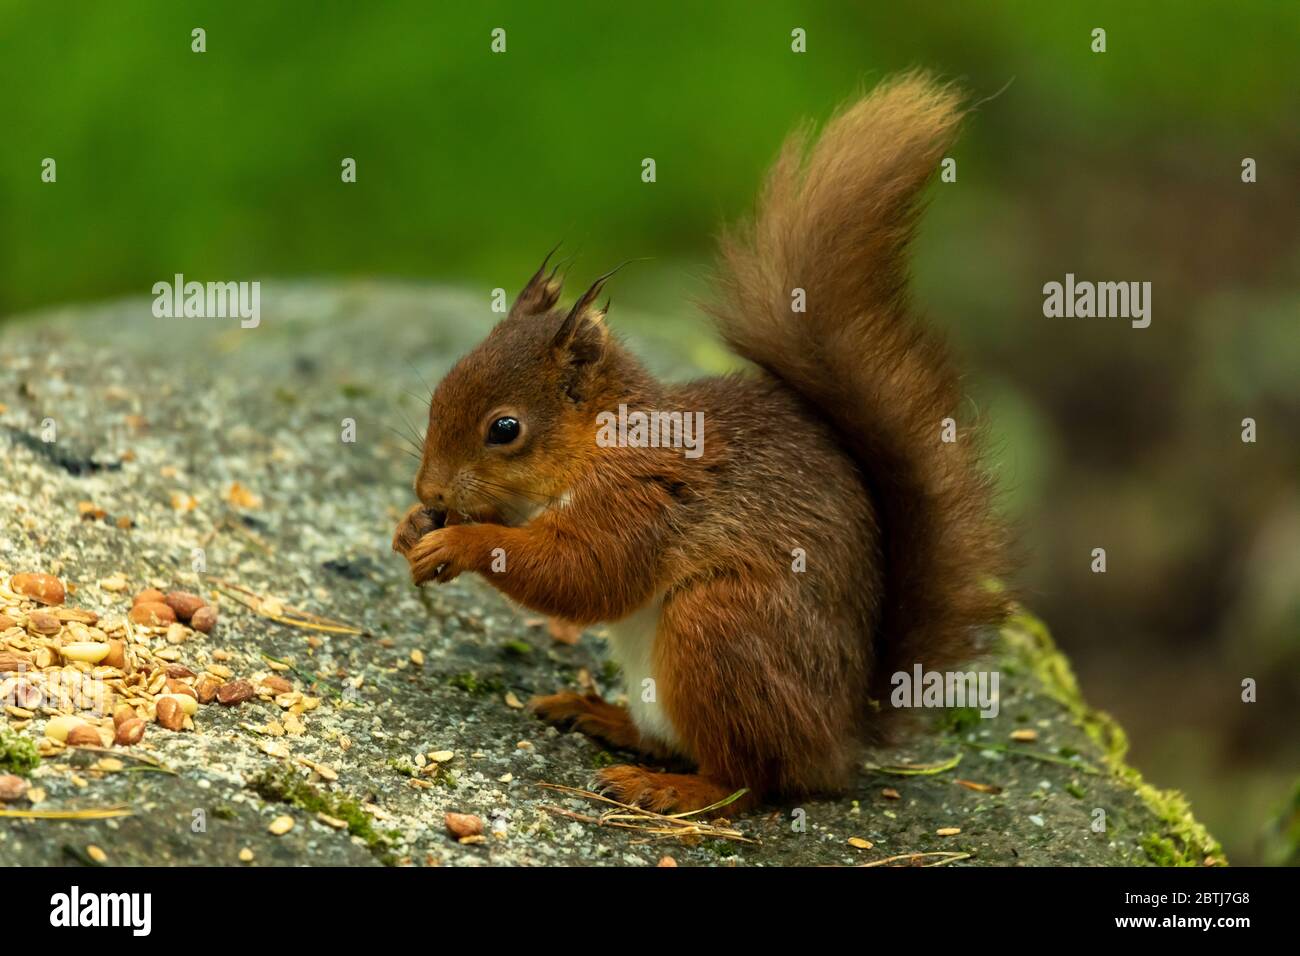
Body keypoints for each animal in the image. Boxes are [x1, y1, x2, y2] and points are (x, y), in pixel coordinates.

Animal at [393, 72, 1011, 814]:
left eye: (504, 430)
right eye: (438, 390)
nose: (428, 488)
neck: (602, 441)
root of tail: (841, 740)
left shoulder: (644, 497)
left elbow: (583, 572)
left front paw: (458, 542)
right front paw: (412, 526)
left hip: (717, 629)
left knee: (745, 780)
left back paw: (666, 788)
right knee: (676, 742)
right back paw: (600, 715)